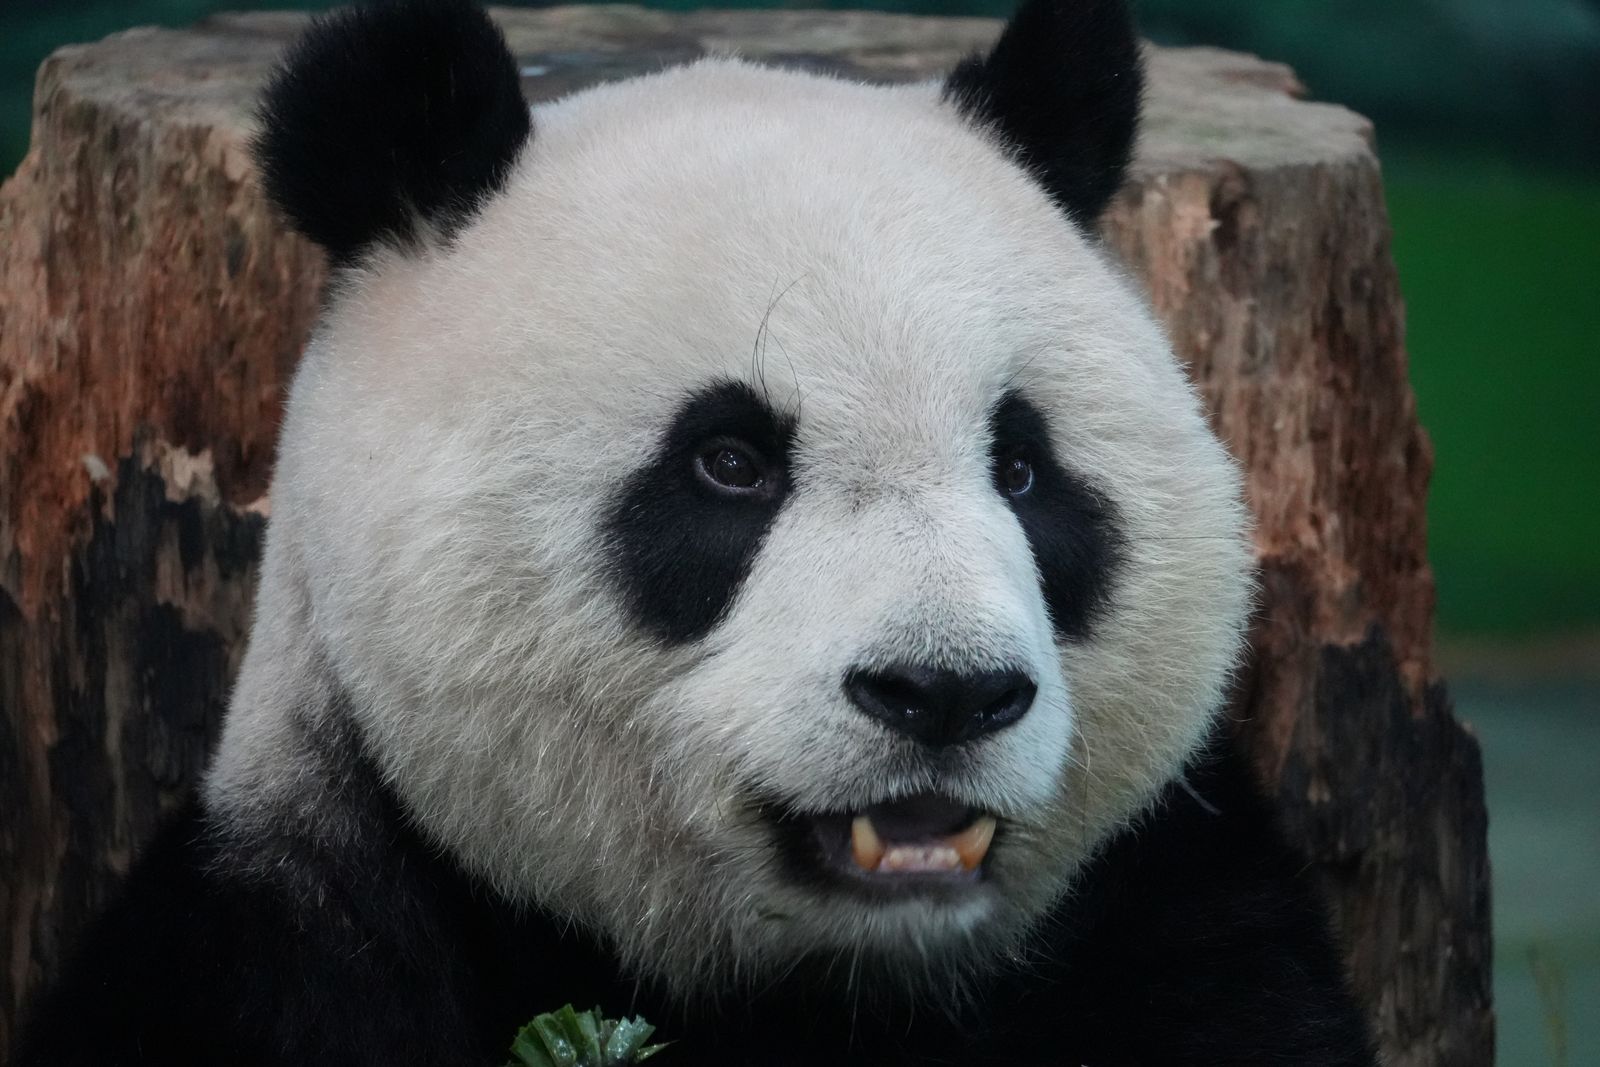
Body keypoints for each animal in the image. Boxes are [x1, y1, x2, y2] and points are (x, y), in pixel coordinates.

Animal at [17, 0, 1378, 1063]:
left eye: (1023, 468)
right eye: (729, 463)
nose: (944, 691)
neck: (810, 986)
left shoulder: (1174, 929)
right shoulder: (291, 933)